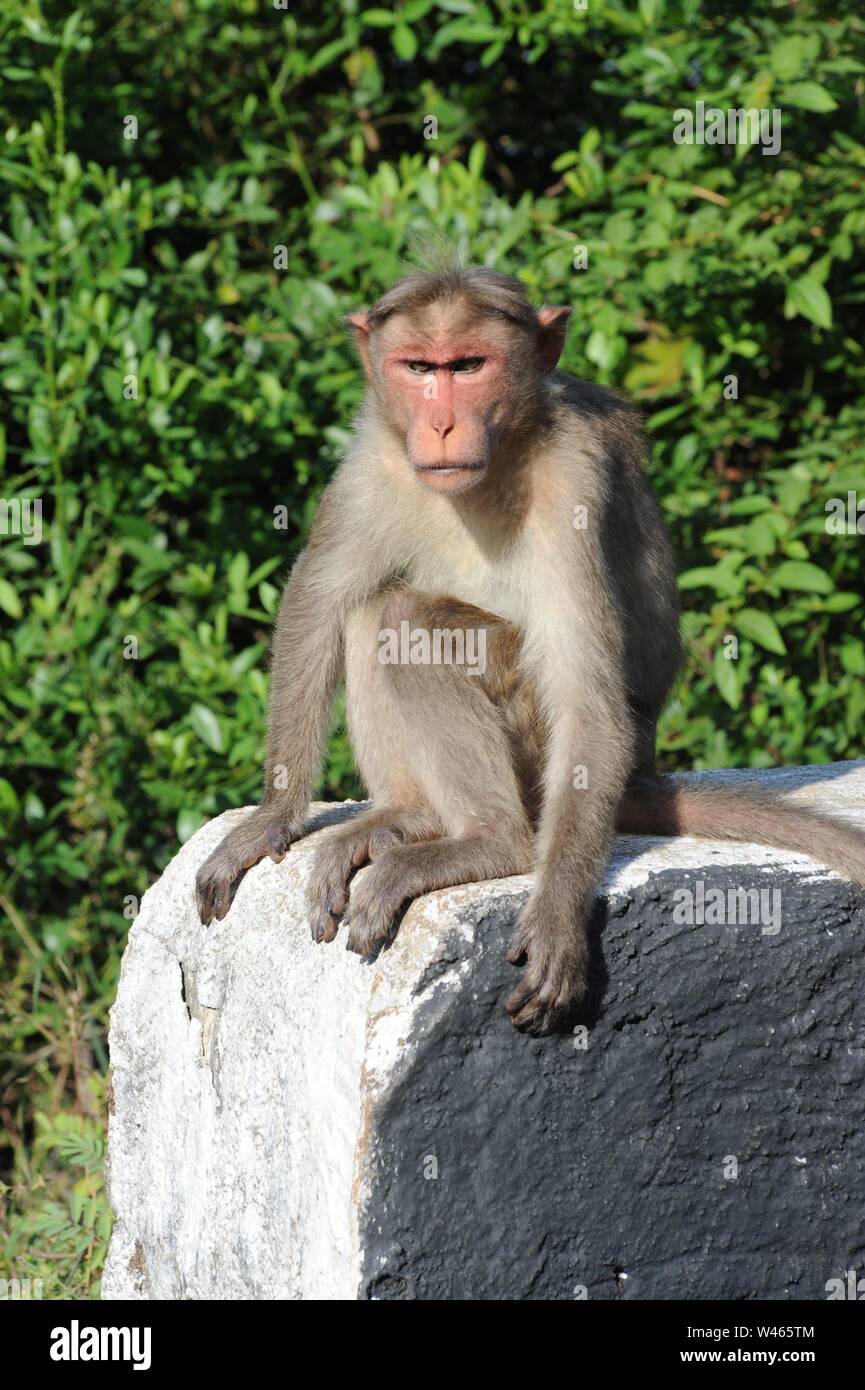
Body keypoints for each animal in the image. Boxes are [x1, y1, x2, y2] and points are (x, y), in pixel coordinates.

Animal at [195, 264, 865, 1034]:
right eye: (418, 368)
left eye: (468, 366)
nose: (441, 422)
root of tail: (642, 769)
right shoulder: (373, 456)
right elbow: (320, 598)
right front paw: (271, 819)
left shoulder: (572, 479)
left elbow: (582, 688)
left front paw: (556, 916)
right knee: (374, 609)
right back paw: (411, 816)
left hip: (539, 749)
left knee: (412, 620)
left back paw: (492, 843)